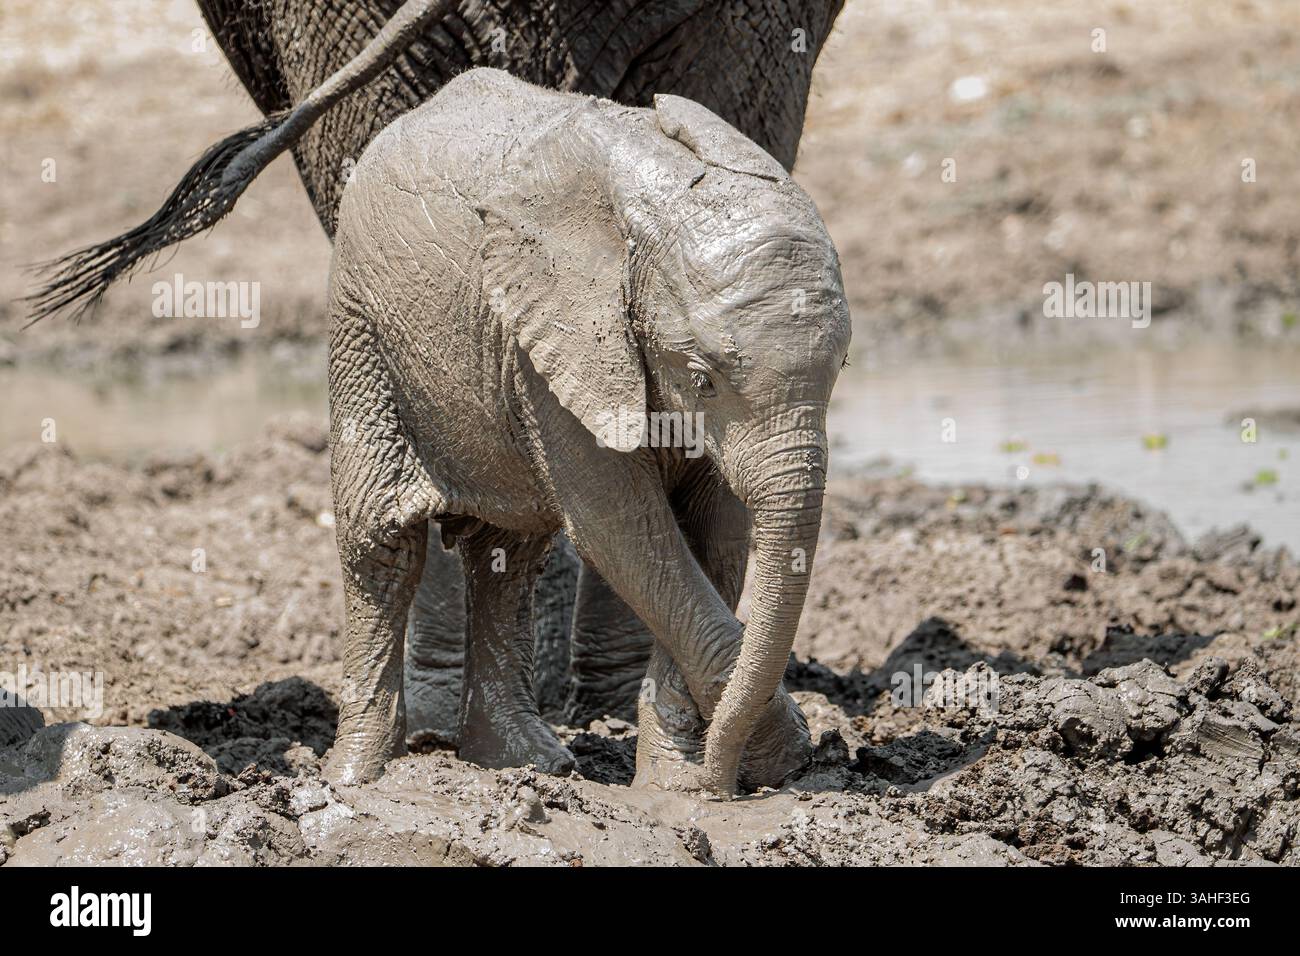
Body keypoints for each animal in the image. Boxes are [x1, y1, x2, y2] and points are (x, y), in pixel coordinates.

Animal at [29, 0, 849, 793]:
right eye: (701, 374)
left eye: (841, 369)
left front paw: (687, 785)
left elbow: (716, 534)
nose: (733, 778)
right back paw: (361, 776)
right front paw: (764, 756)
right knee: (382, 544)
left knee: (509, 552)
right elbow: (624, 526)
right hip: (361, 323)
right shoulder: (549, 341)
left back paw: (525, 762)